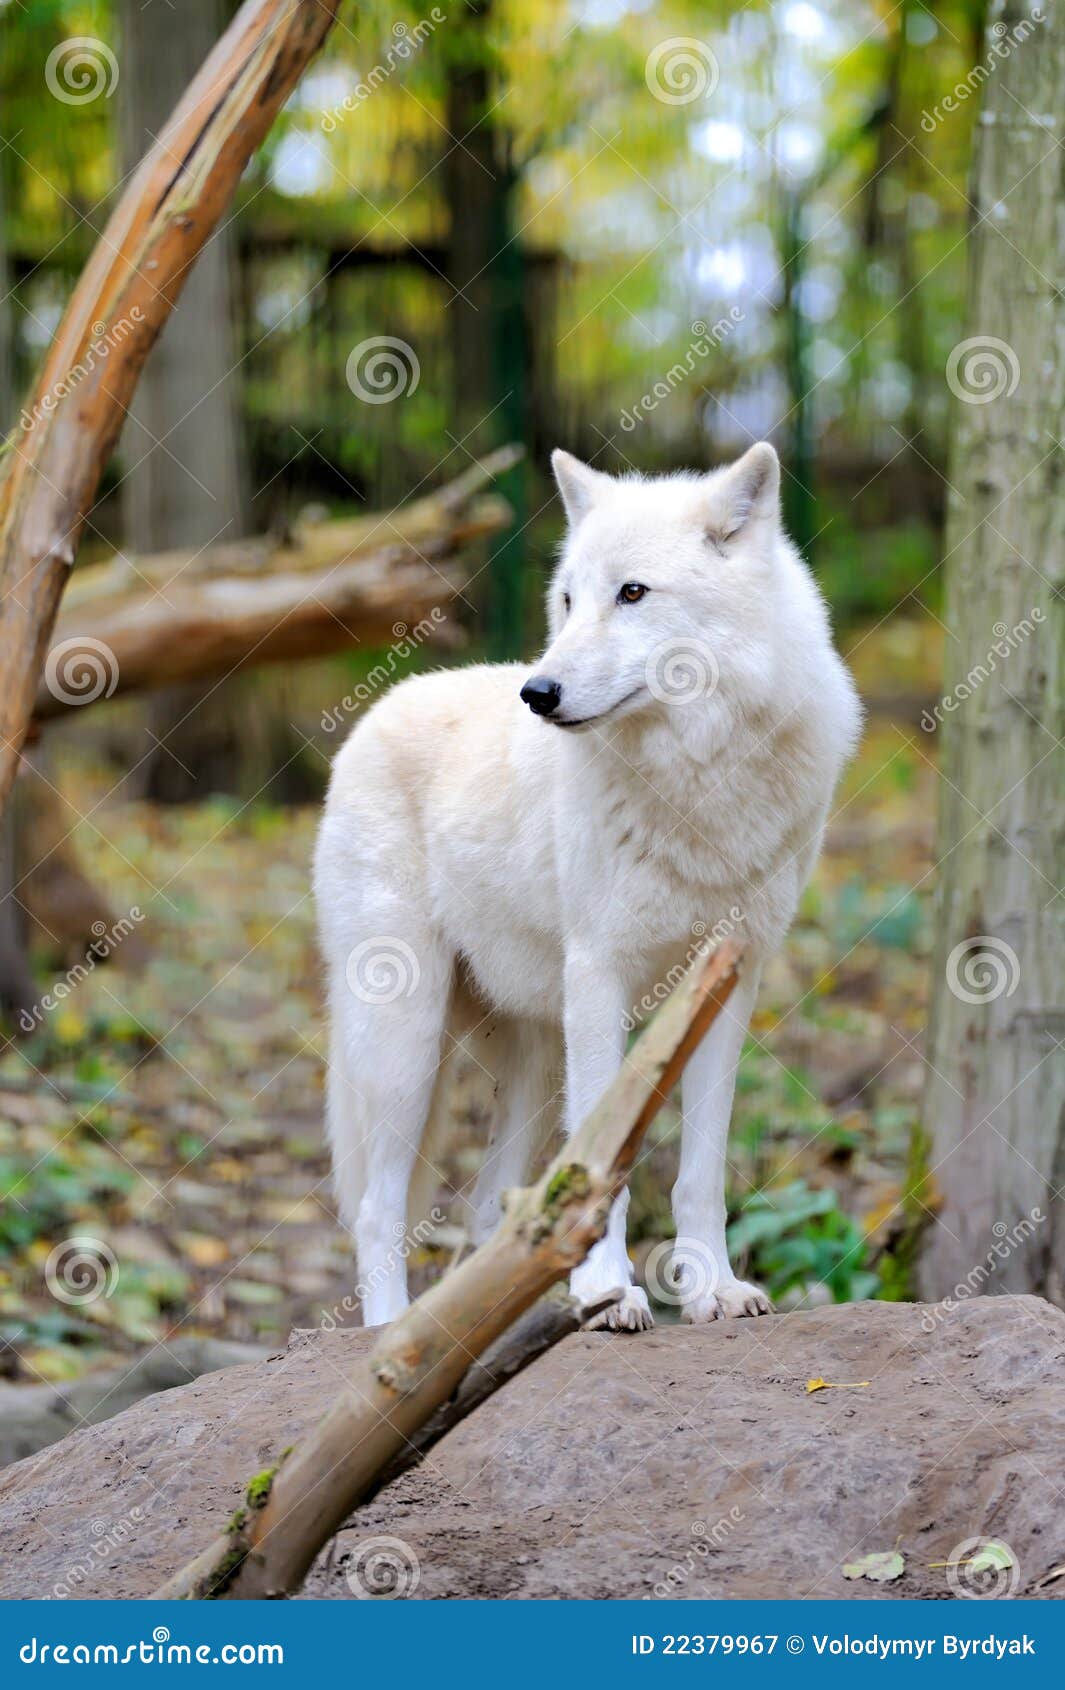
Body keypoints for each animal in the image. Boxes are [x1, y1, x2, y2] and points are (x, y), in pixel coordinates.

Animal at [314, 442, 861, 1330]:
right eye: (567, 600)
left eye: (631, 593)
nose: (537, 694)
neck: (697, 782)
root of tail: (375, 712)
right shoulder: (599, 975)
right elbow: (604, 1170)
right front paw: (608, 1290)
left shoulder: (727, 980)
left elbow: (701, 1168)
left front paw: (710, 1287)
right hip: (406, 1039)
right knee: (376, 1208)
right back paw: (395, 1336)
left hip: (534, 1059)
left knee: (489, 1209)